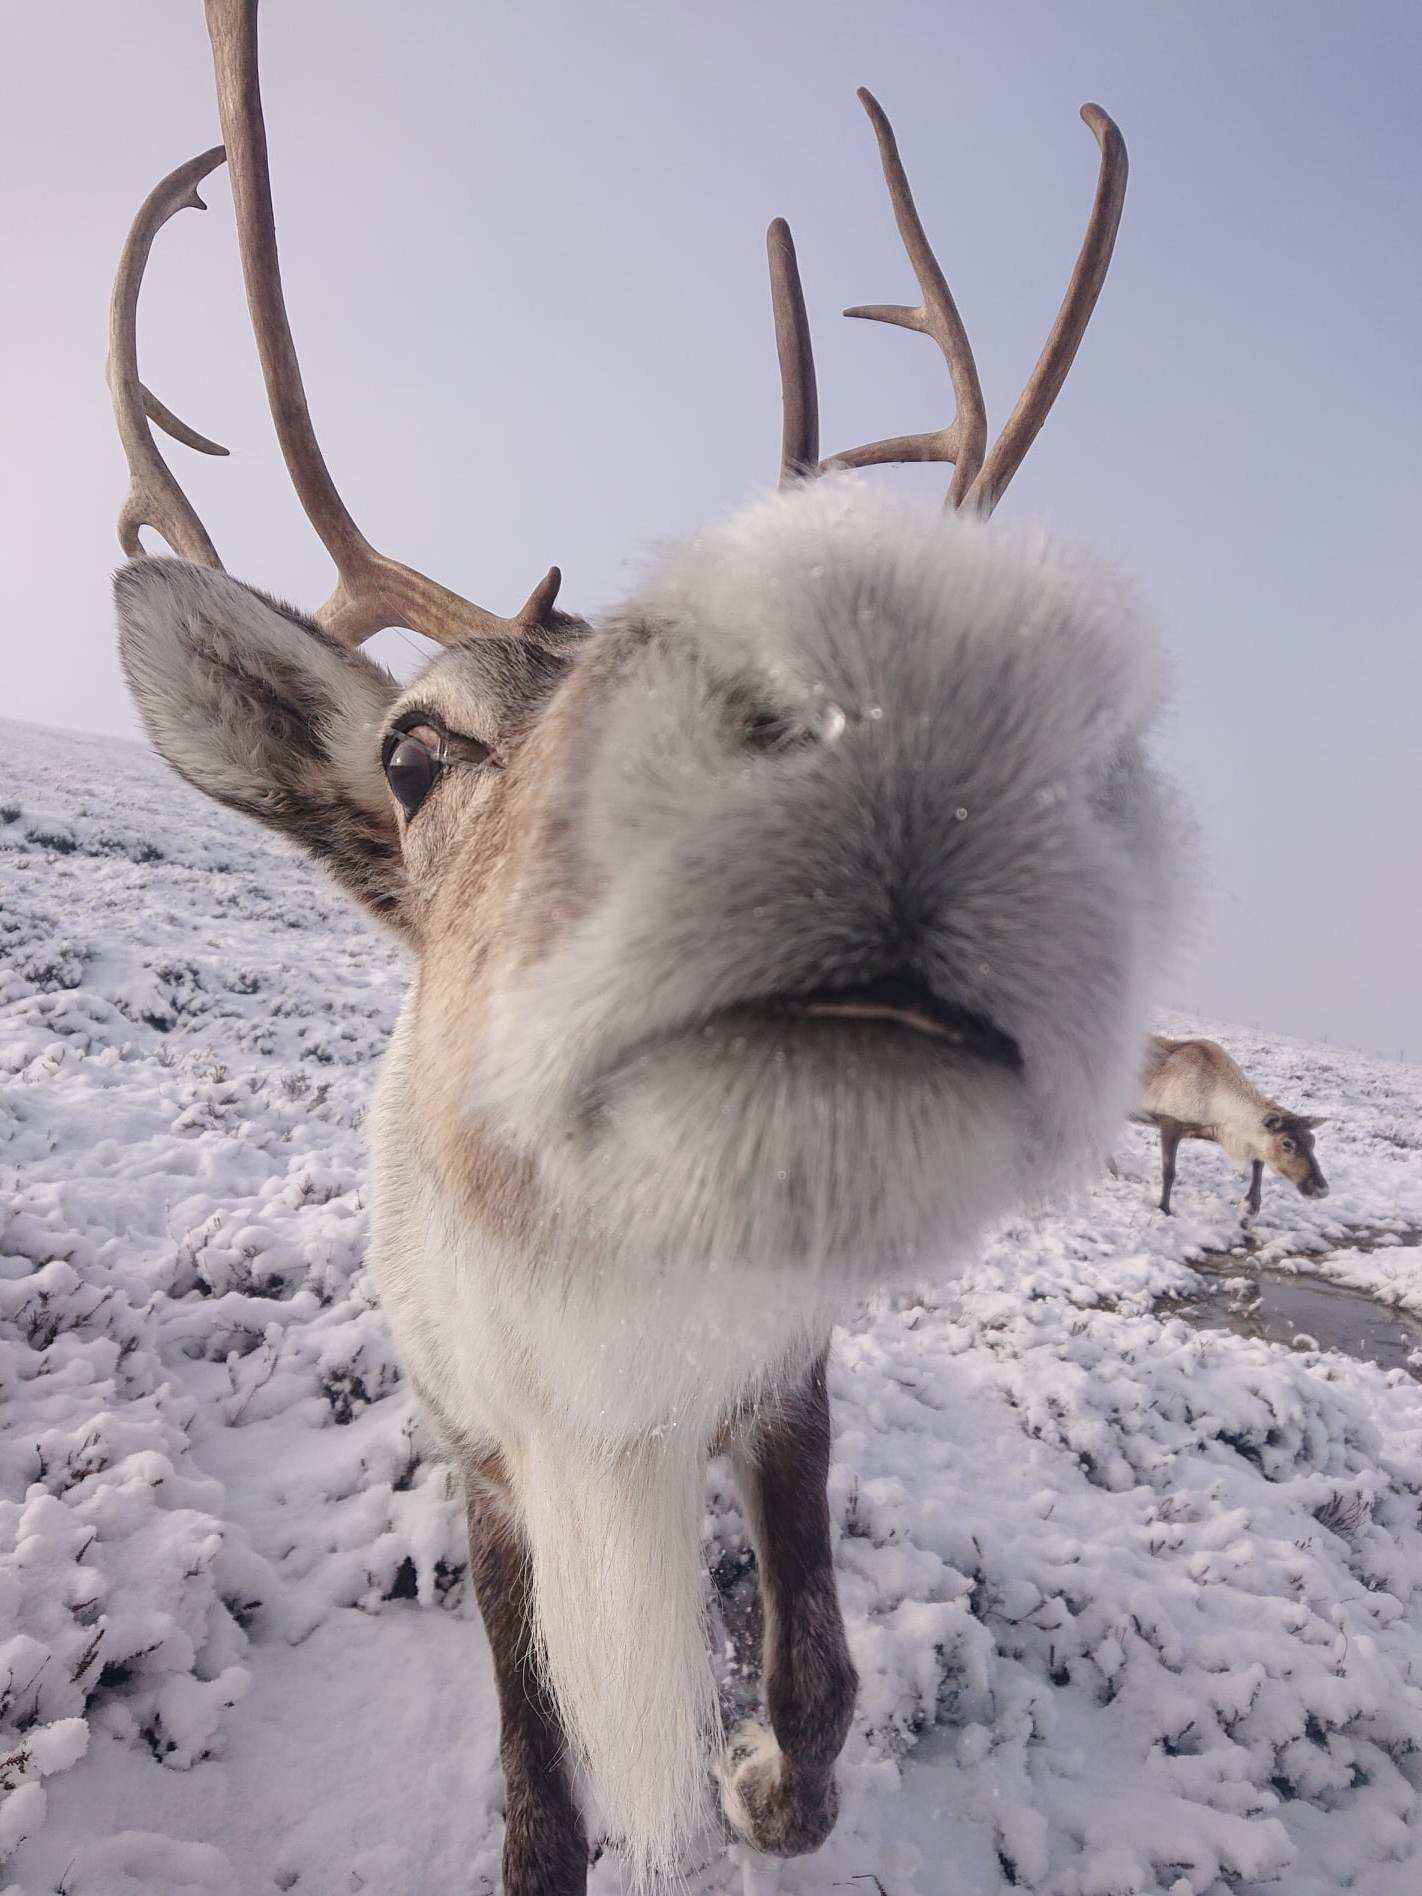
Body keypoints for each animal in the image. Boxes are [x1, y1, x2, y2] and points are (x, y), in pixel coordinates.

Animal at [108, 2, 1177, 1888]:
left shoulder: (781, 1362)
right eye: (415, 750)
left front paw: (751, 1780)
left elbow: (814, 1683)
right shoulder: (485, 1438)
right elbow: (537, 1782)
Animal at [1136, 1034, 1329, 1217]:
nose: (1322, 1190)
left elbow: (1258, 1162)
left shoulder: (1222, 1133)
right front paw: (1164, 1208)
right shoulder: (1170, 1122)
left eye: (1312, 1141)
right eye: (1287, 1143)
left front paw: (1249, 1209)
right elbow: (1169, 1173)